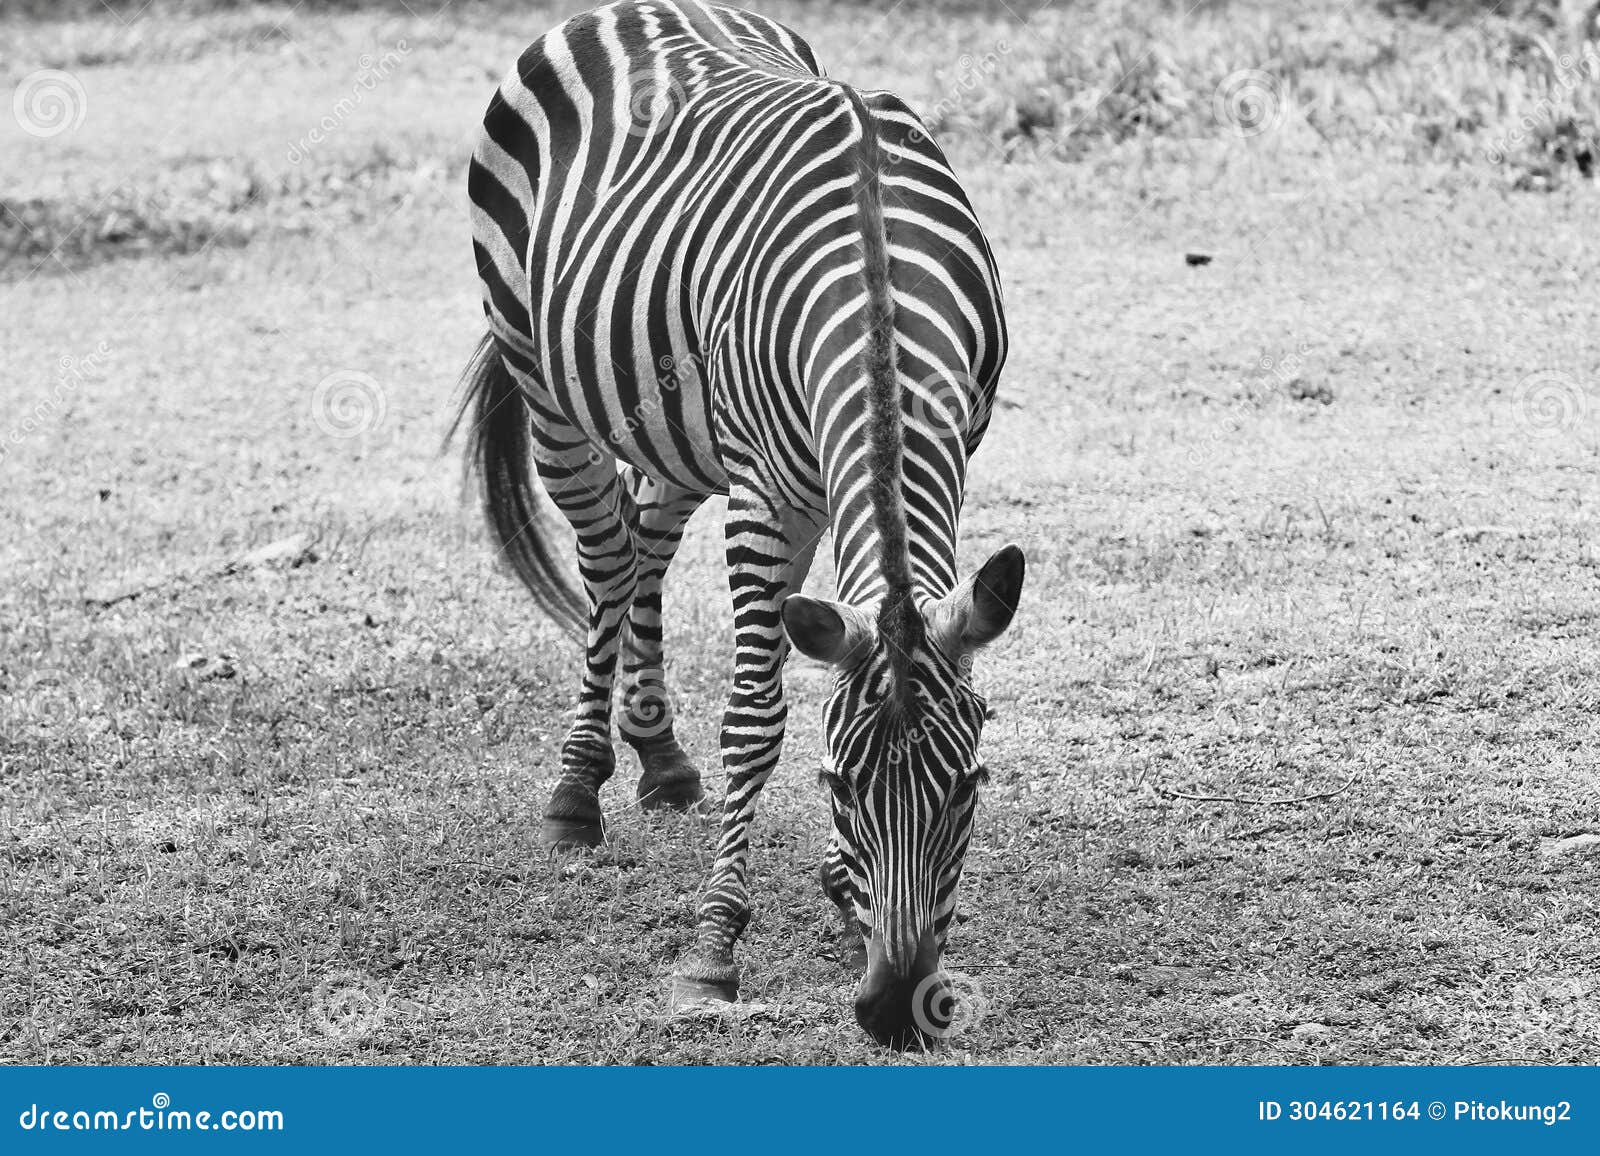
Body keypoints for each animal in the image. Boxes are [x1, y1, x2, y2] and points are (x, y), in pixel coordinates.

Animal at [457, 0, 1025, 1047]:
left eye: (968, 788)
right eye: (837, 787)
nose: (898, 1010)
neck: (879, 296)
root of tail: (633, 7)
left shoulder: (950, 448)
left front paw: (842, 892)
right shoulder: (767, 496)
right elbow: (757, 719)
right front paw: (714, 951)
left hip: (677, 425)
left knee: (644, 538)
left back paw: (662, 759)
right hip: (547, 386)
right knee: (605, 558)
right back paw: (578, 790)